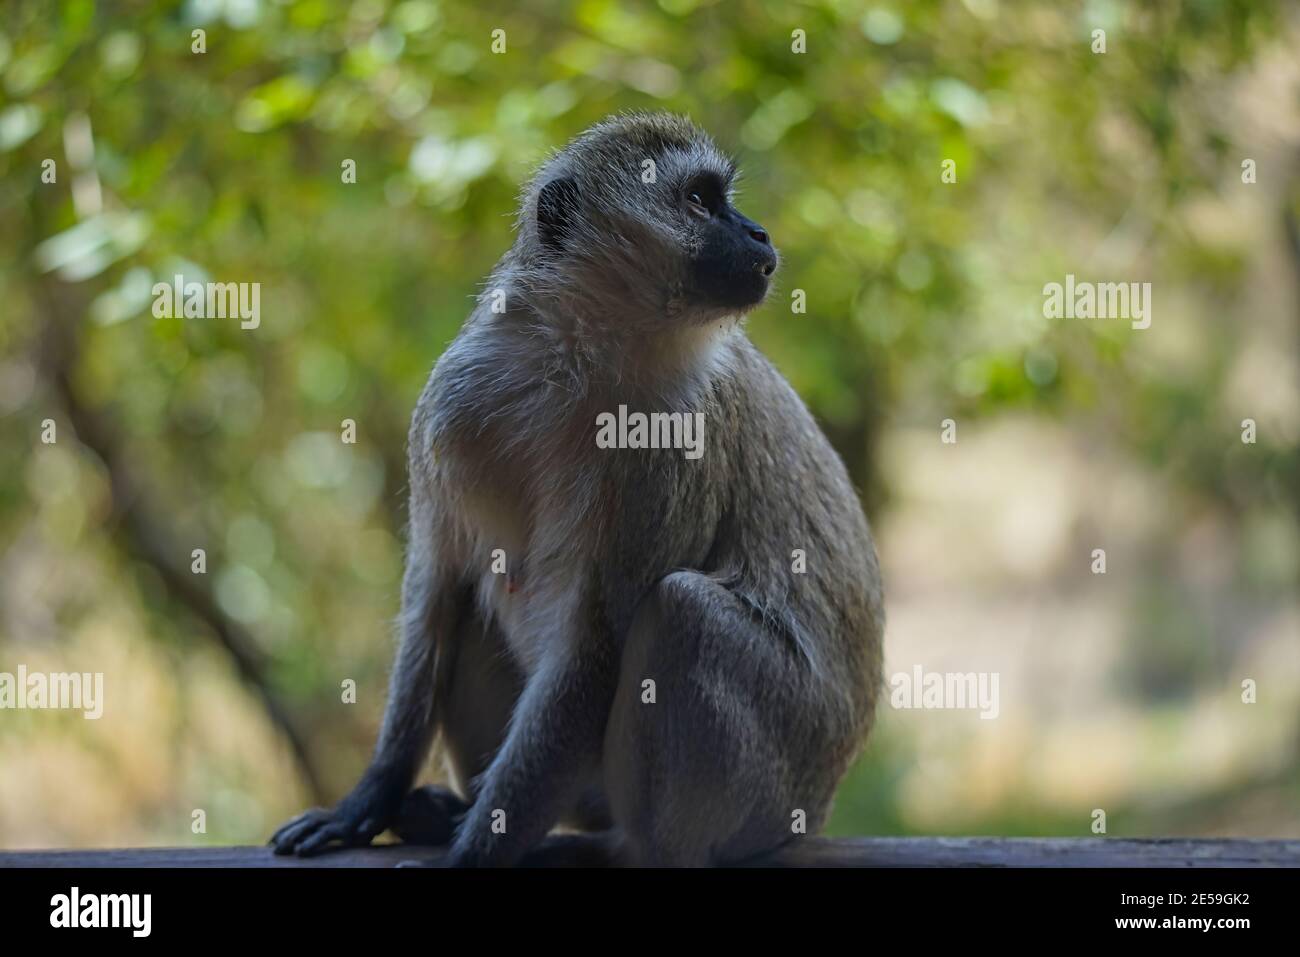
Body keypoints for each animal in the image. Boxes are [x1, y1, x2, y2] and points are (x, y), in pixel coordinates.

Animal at [271, 113, 885, 866]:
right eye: (700, 202)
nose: (760, 233)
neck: (582, 357)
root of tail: (819, 802)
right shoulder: (453, 402)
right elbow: (437, 587)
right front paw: (371, 796)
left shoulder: (672, 444)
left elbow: (593, 648)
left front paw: (472, 856)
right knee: (480, 590)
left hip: (769, 797)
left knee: (683, 613)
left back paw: (625, 848)